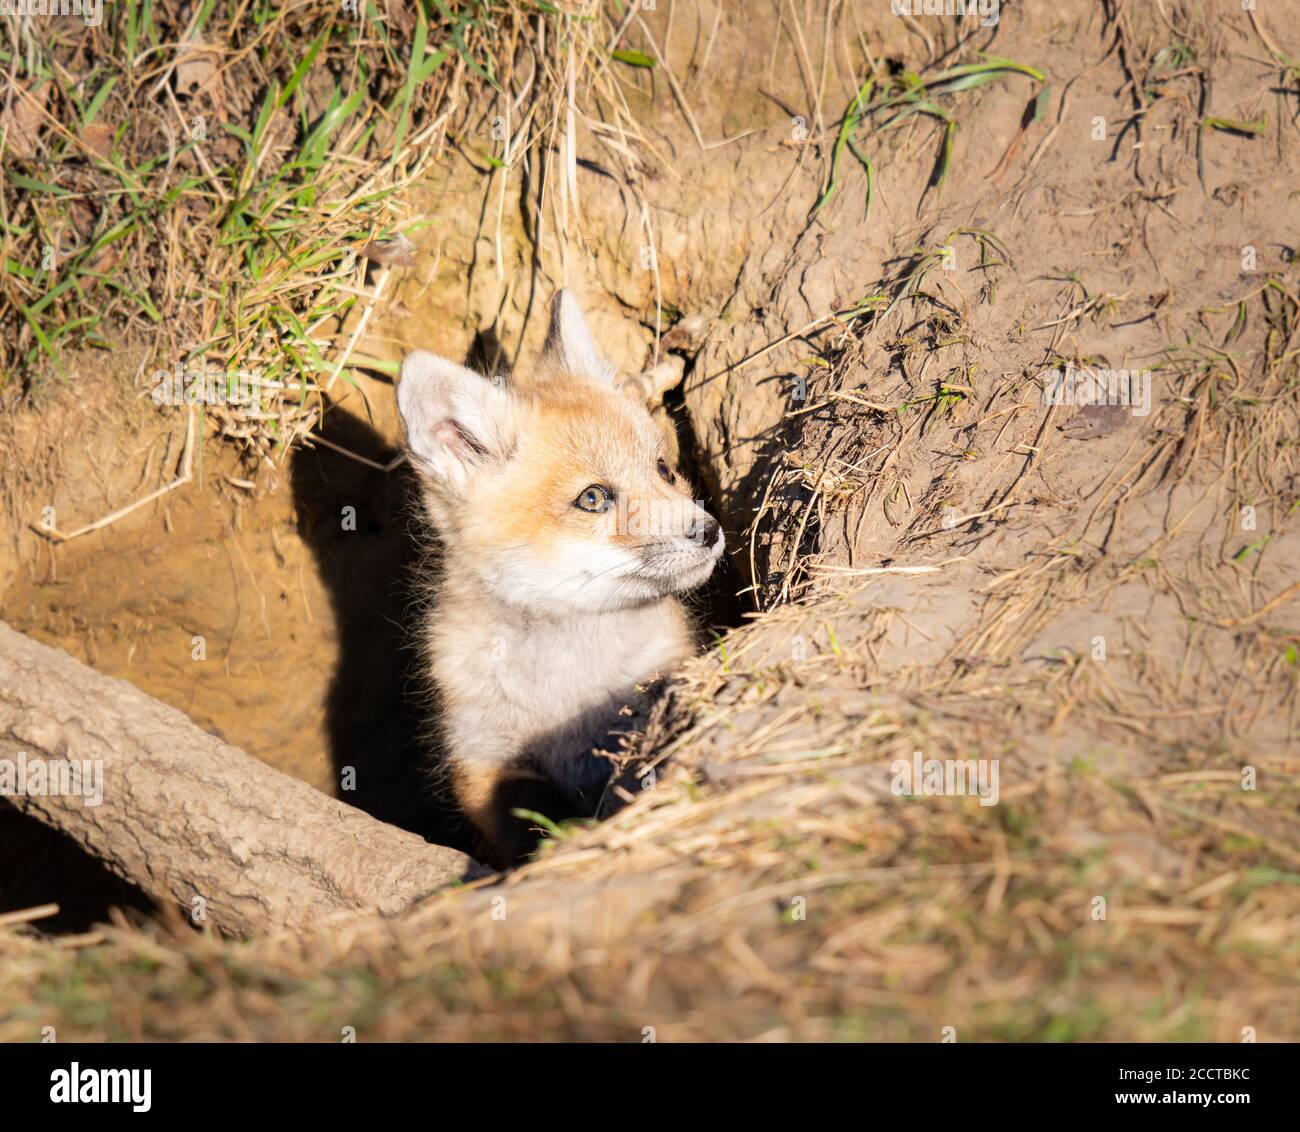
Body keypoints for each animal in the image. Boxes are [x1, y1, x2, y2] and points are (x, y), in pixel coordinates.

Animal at [397, 290, 725, 867]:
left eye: (664, 470)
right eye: (593, 498)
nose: (708, 531)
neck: (567, 690)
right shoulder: (482, 756)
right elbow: (526, 816)